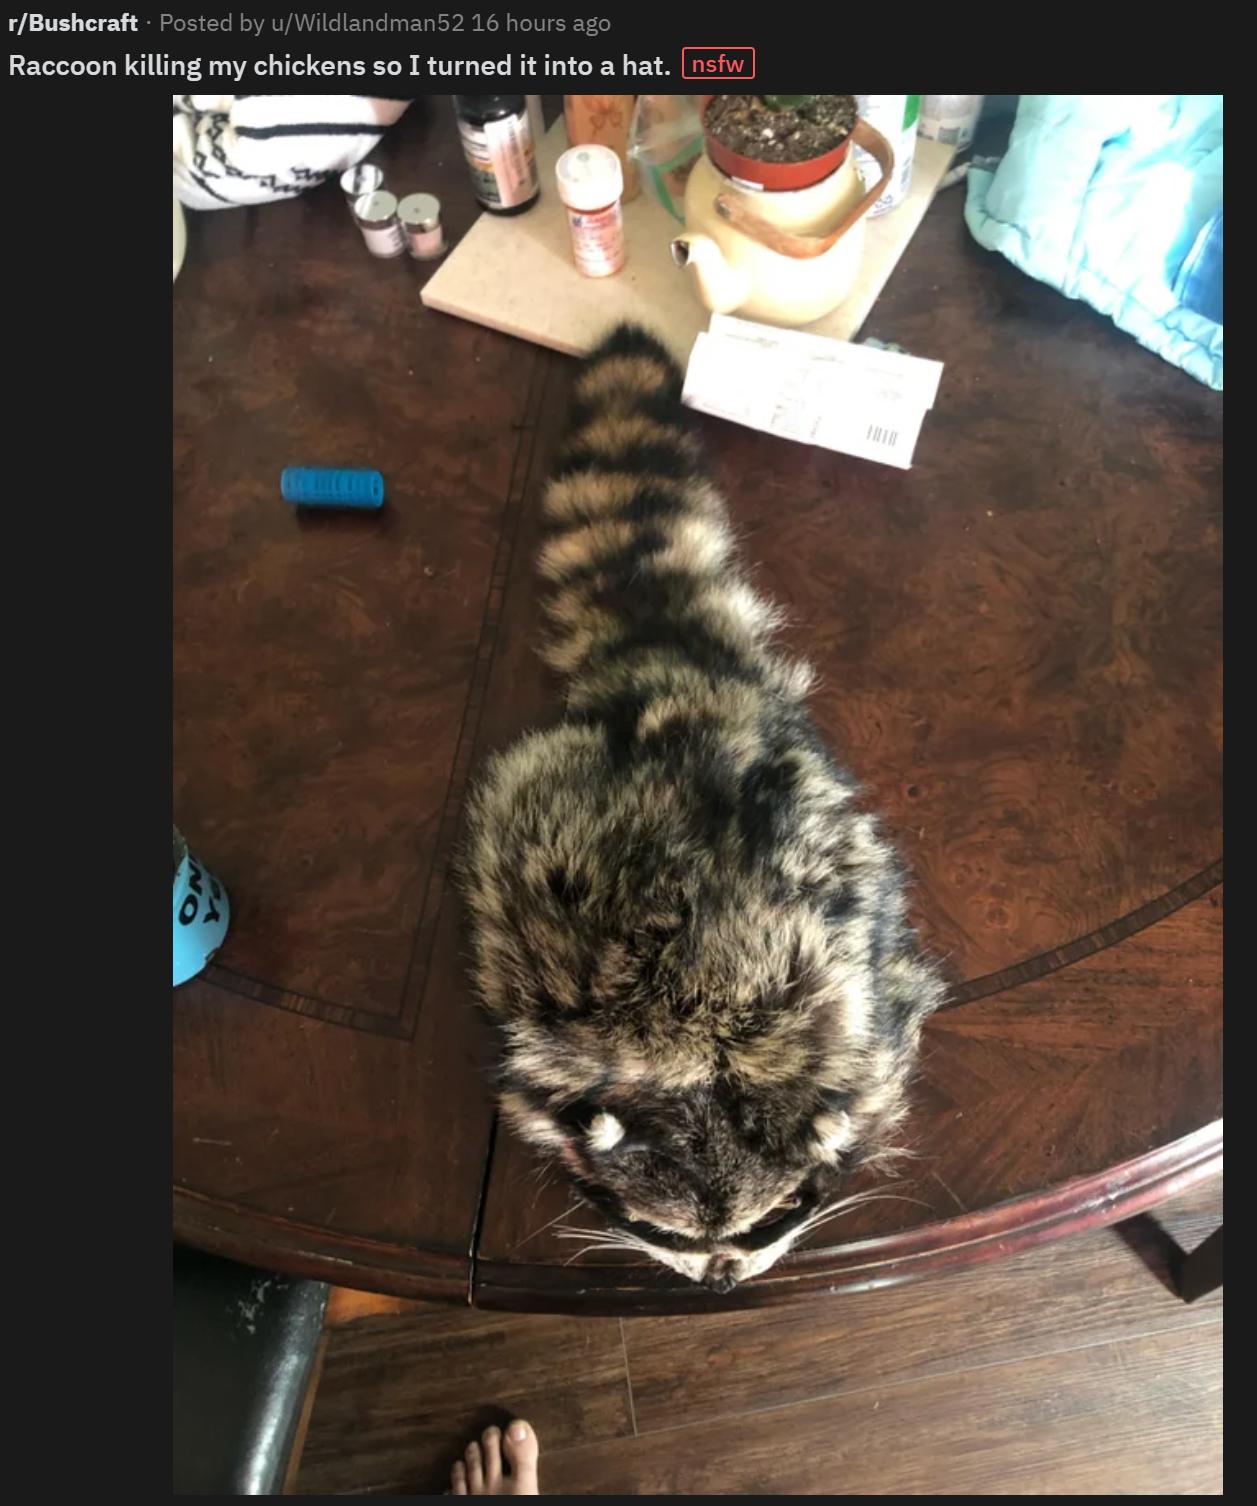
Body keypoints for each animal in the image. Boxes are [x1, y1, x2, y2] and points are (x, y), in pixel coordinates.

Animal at [460, 324, 944, 1291]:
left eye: (771, 1219)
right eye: (667, 1232)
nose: (719, 1279)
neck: (705, 1068)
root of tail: (667, 670)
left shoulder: (875, 1043)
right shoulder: (545, 1066)